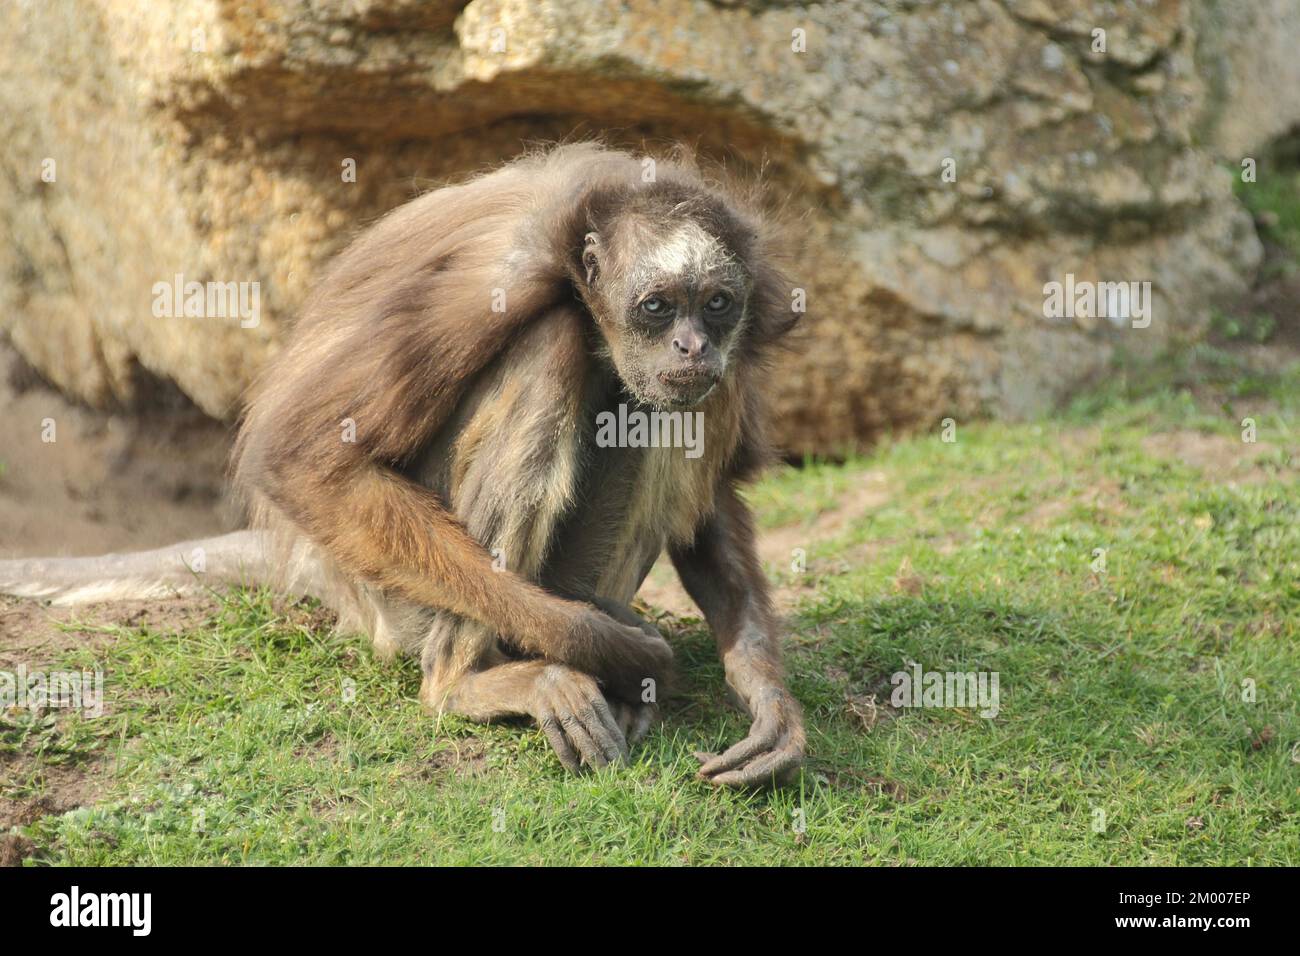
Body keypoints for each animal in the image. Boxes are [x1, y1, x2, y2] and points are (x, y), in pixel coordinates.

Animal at [1, 143, 806, 787]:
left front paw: (763, 692)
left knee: (662, 404)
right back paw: (464, 684)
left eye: (717, 305)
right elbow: (305, 459)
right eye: (657, 307)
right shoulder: (498, 271)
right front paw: (604, 648)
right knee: (554, 341)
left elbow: (715, 500)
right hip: (398, 600)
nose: (692, 346)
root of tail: (335, 578)